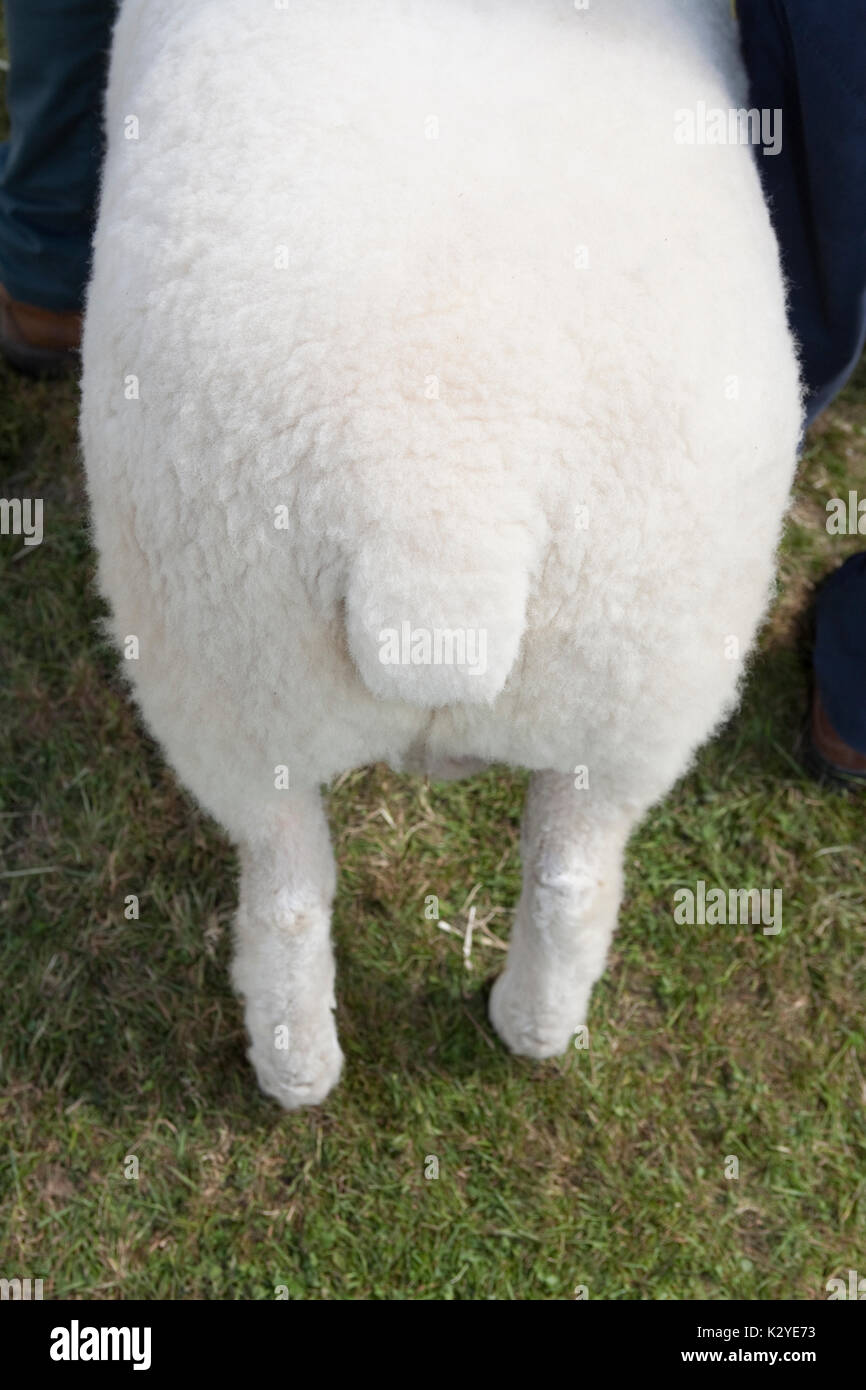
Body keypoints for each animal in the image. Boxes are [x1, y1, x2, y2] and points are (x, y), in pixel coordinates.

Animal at [80, 0, 802, 1109]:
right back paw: (526, 1030)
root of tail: (442, 518)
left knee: (286, 900)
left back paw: (299, 1074)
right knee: (566, 881)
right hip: (627, 702)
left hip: (229, 687)